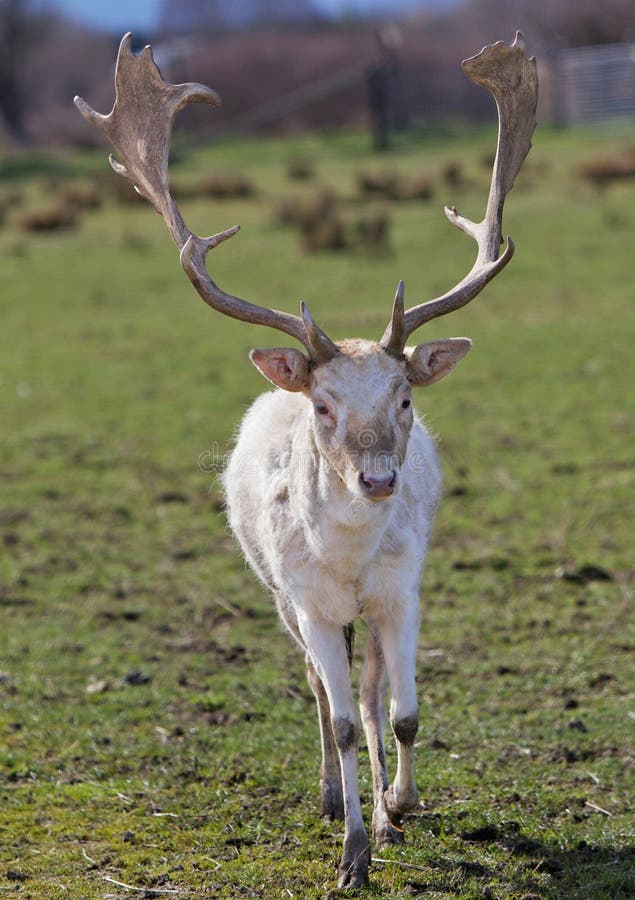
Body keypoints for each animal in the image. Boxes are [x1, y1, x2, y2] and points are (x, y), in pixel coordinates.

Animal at [75, 32, 537, 889]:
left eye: (404, 397)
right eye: (322, 405)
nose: (379, 479)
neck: (348, 562)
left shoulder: (401, 589)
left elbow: (403, 711)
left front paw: (398, 808)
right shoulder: (308, 601)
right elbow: (344, 719)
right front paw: (352, 853)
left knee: (370, 687)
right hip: (278, 597)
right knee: (324, 697)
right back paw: (331, 797)